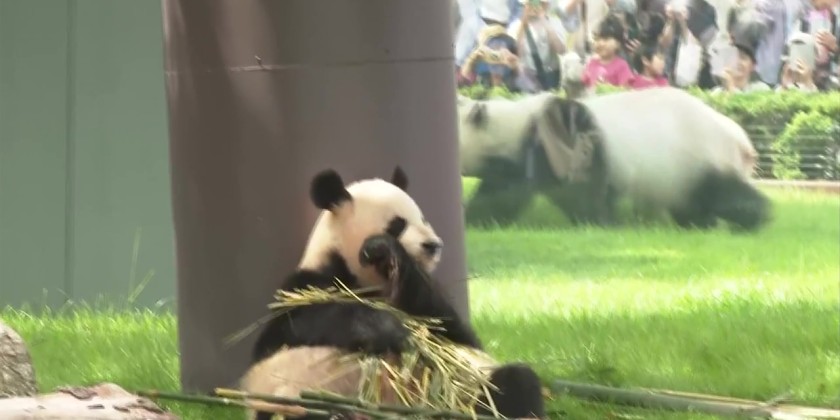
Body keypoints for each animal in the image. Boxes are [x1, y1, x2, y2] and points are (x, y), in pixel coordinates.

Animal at [240, 167, 546, 420]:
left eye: (423, 218)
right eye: (397, 224)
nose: (433, 245)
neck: (367, 282)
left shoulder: (431, 307)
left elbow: (455, 334)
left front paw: (395, 260)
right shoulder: (307, 285)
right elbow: (288, 328)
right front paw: (386, 329)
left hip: (458, 393)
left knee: (511, 385)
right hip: (298, 398)